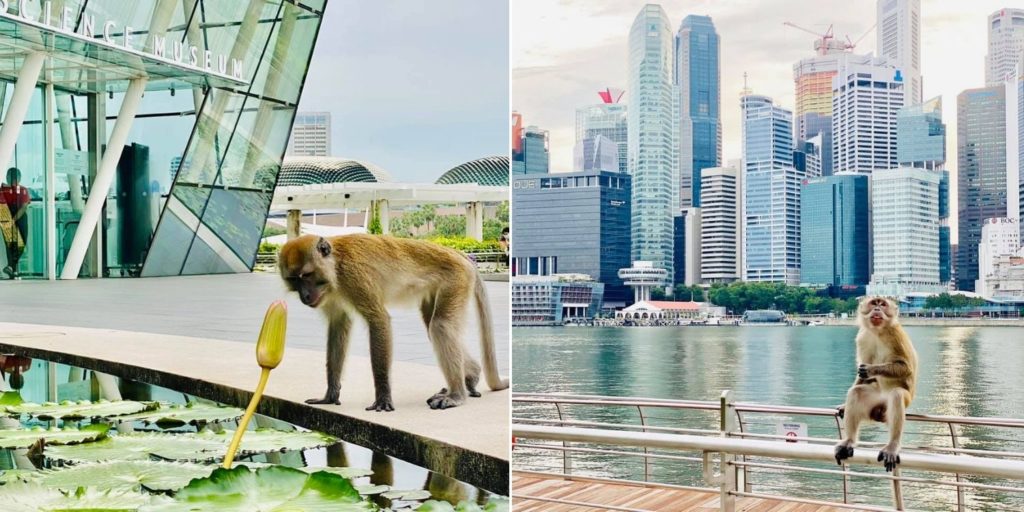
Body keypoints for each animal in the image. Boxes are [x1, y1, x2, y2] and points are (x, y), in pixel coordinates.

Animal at [278, 234, 509, 411]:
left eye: (307, 275)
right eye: (294, 280)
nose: (305, 296)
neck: (336, 264)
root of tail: (457, 253)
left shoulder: (355, 276)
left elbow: (378, 320)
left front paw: (382, 397)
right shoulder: (330, 294)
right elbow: (339, 325)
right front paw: (330, 394)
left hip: (457, 277)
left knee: (440, 326)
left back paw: (457, 394)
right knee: (433, 323)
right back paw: (471, 374)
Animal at [834, 296, 918, 472]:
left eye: (883, 304)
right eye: (874, 303)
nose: (877, 309)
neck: (878, 332)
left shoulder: (895, 334)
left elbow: (906, 367)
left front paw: (871, 369)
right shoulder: (863, 337)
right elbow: (861, 375)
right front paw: (844, 405)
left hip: (903, 400)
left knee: (896, 395)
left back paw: (892, 446)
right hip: (875, 399)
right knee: (856, 392)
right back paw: (849, 441)